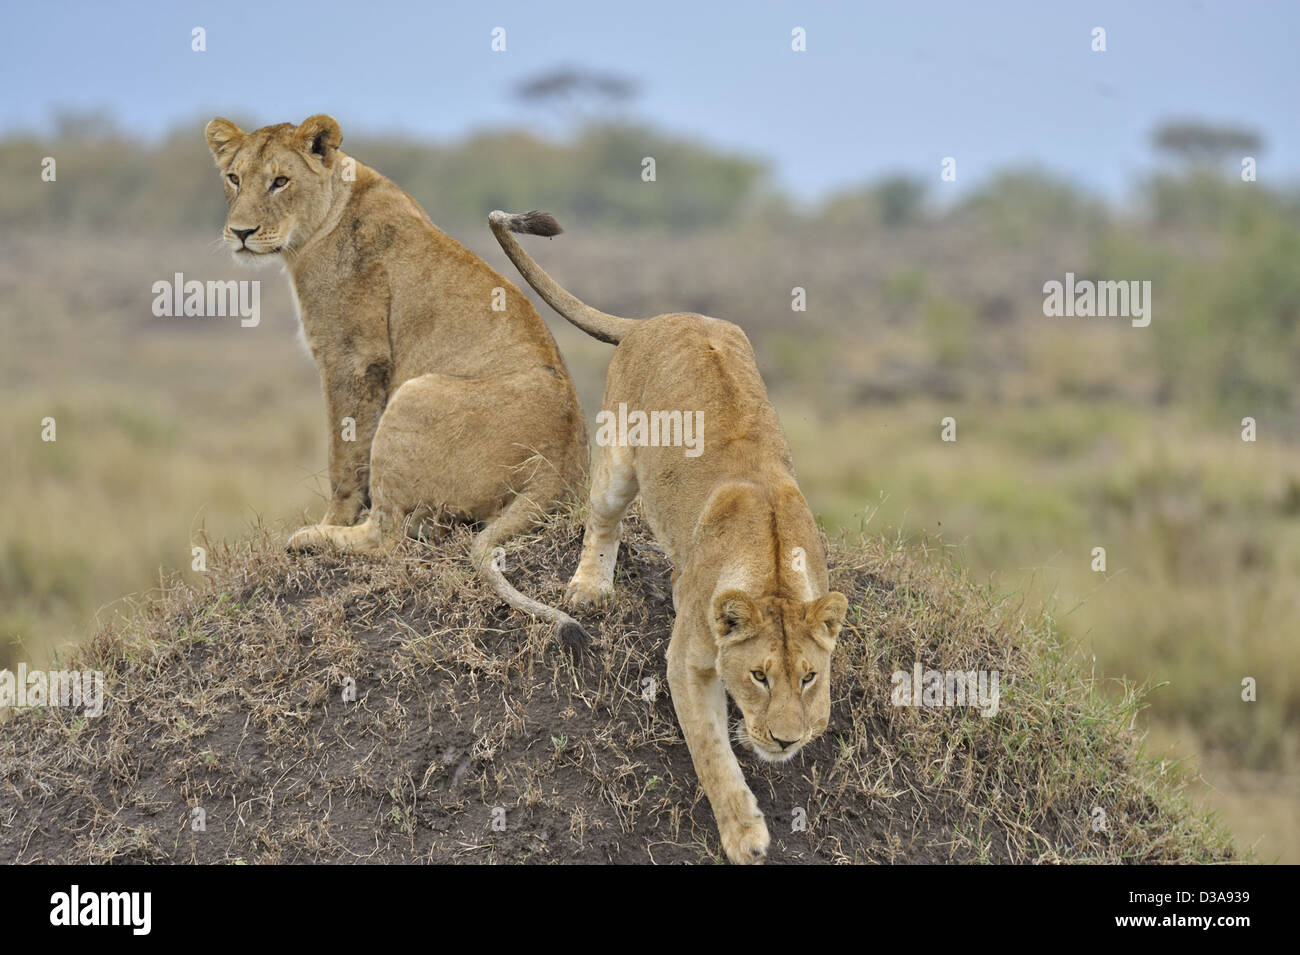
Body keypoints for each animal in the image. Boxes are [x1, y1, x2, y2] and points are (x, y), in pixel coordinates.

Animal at [204, 116, 589, 641]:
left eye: (280, 181)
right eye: (234, 178)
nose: (240, 233)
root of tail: (559, 463)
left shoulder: (351, 357)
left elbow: (344, 456)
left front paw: (335, 517)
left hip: (414, 393)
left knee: (387, 539)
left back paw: (312, 538)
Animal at [489, 210, 849, 864]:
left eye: (807, 675)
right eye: (759, 676)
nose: (784, 741)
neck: (774, 568)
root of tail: (657, 318)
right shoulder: (686, 663)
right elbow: (712, 755)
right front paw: (743, 835)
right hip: (616, 464)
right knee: (601, 522)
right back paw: (588, 587)